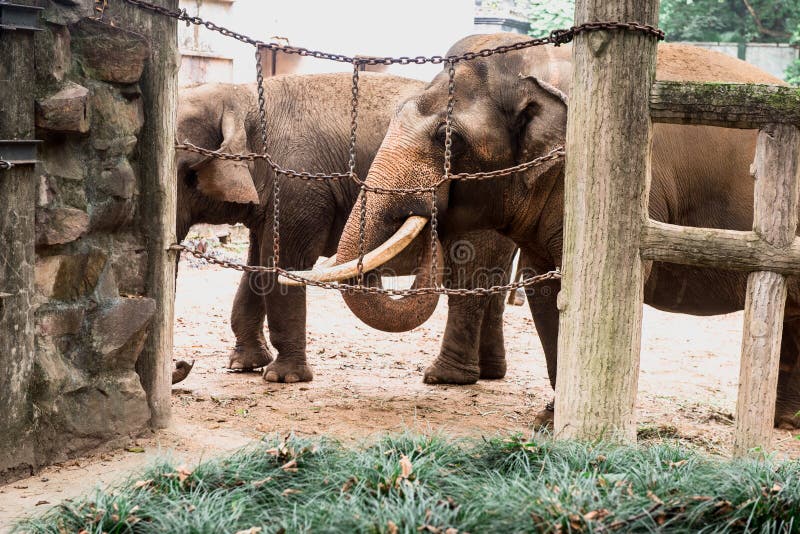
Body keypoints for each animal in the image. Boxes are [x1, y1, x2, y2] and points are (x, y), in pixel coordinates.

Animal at [175, 72, 517, 384]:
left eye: (182, 169)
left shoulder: (300, 187)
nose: (184, 365)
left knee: (470, 278)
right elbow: (258, 264)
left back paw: (446, 377)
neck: (239, 93)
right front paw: (244, 365)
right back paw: (489, 373)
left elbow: (287, 264)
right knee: (493, 287)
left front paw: (283, 378)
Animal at [309, 34, 800, 429]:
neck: (538, 64)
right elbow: (543, 287)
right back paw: (785, 422)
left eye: (449, 138)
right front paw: (548, 420)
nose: (430, 210)